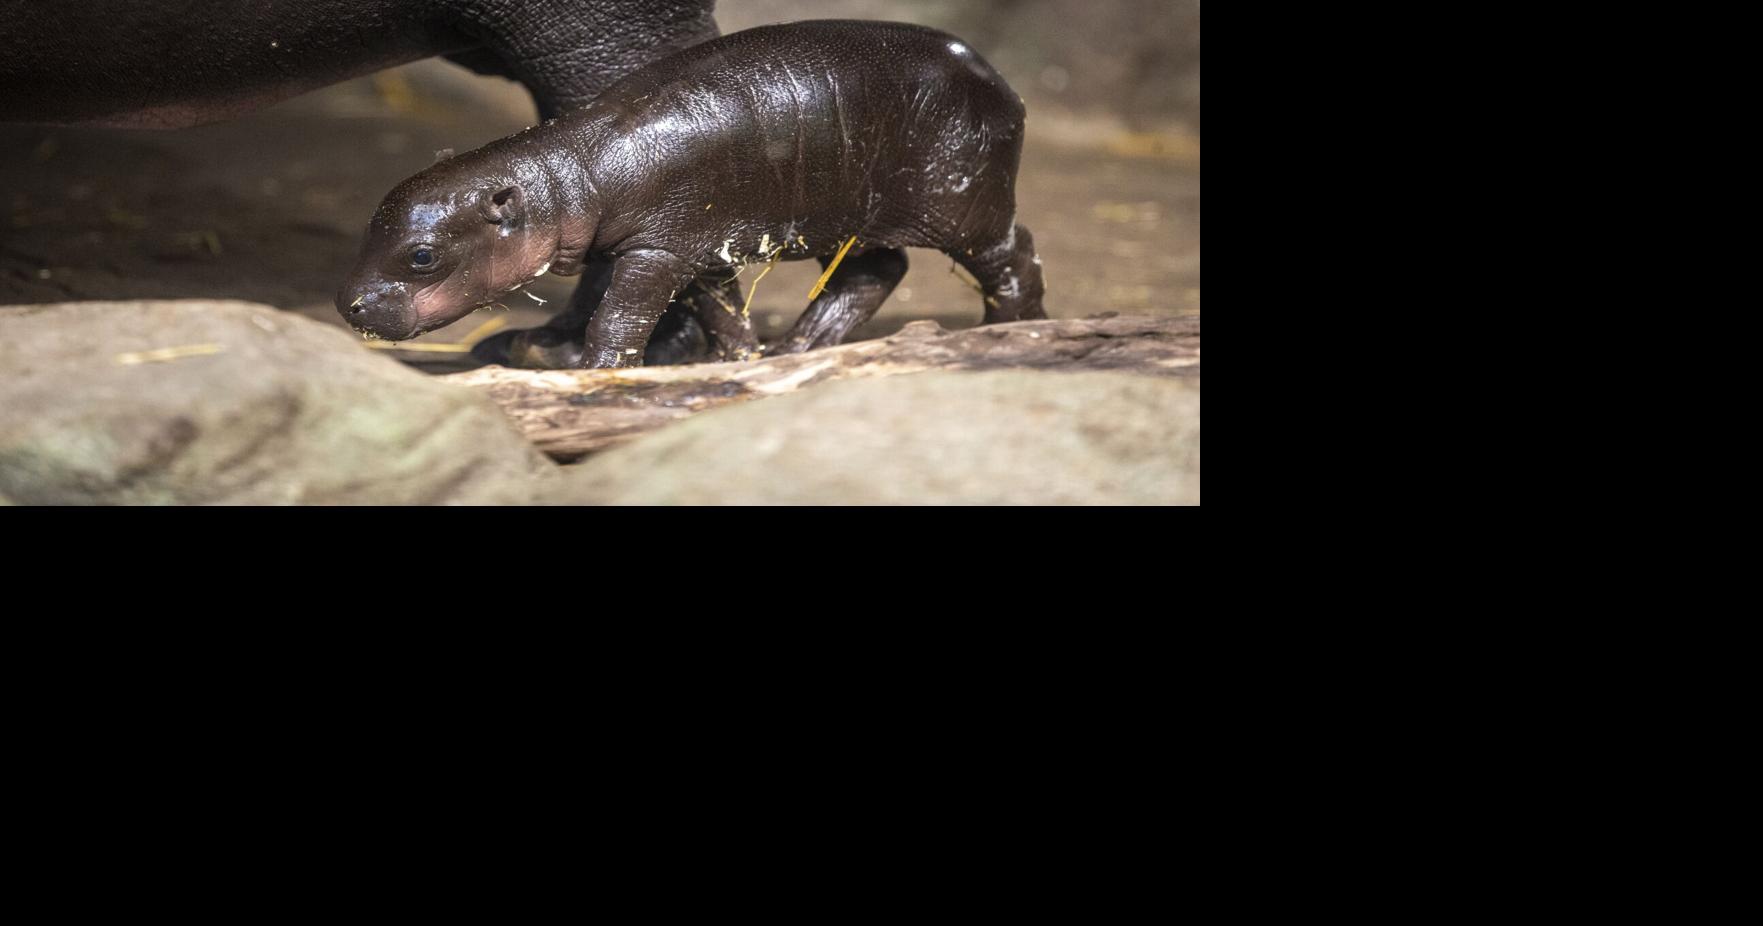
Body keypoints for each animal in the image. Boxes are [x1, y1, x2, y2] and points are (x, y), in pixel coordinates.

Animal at [337, 20, 1046, 369]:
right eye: (372, 225)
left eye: (423, 255)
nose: (347, 304)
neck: (564, 176)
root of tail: (1001, 80)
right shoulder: (699, 251)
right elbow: (719, 311)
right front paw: (734, 362)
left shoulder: (654, 252)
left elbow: (620, 317)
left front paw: (600, 373)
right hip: (843, 213)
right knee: (874, 271)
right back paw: (795, 351)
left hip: (965, 205)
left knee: (1013, 255)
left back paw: (1015, 331)